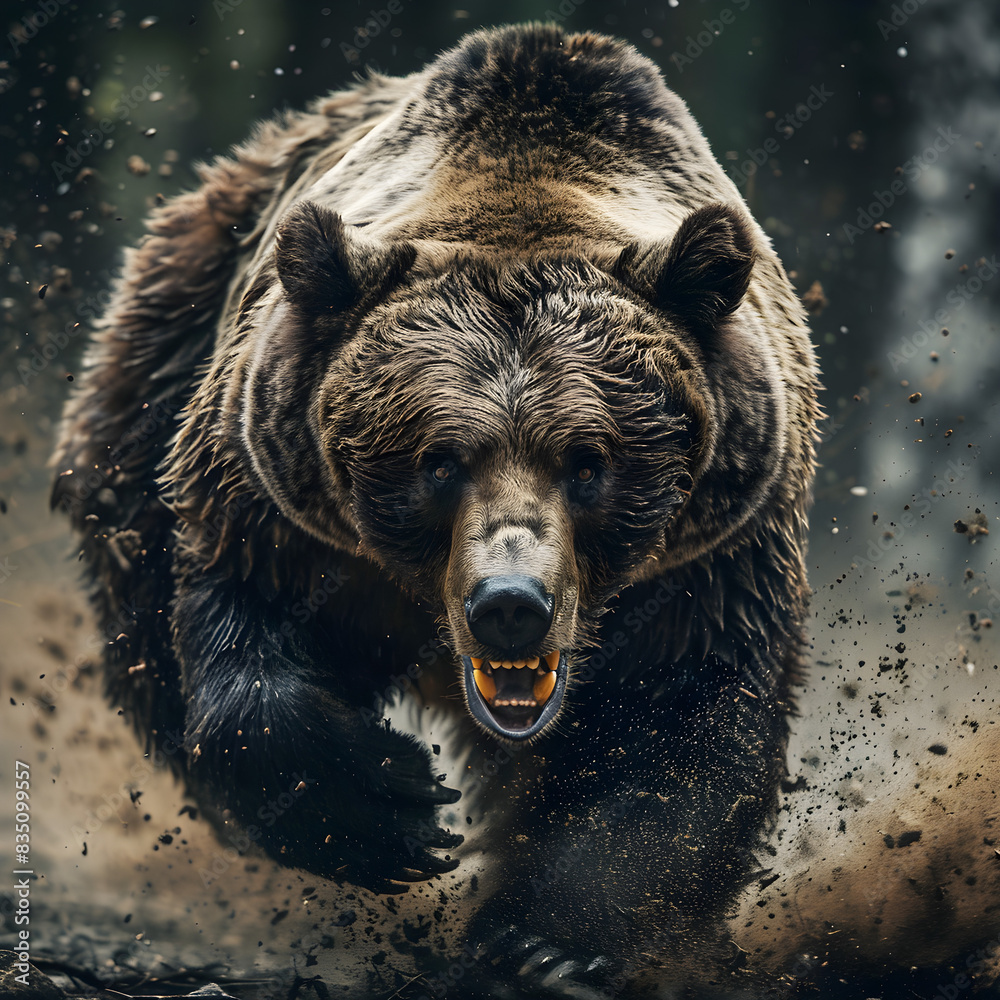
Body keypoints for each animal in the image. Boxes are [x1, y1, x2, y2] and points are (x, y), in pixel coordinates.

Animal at [52, 24, 818, 998]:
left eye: (590, 462)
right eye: (439, 460)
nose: (510, 605)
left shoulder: (707, 557)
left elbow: (675, 725)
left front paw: (548, 946)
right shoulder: (279, 506)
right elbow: (248, 654)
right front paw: (395, 808)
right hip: (163, 344)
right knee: (141, 594)